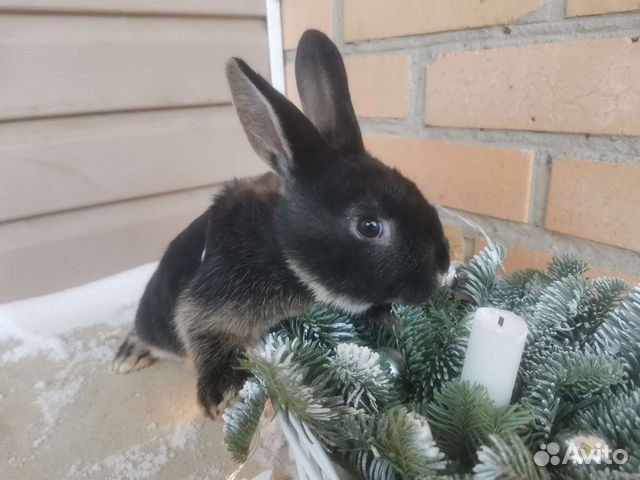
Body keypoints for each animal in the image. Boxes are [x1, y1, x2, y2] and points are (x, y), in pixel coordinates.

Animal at [112, 29, 451, 418]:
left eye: (413, 187)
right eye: (369, 226)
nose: (443, 267)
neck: (283, 254)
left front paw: (391, 320)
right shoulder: (210, 300)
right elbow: (201, 330)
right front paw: (222, 394)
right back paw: (128, 356)